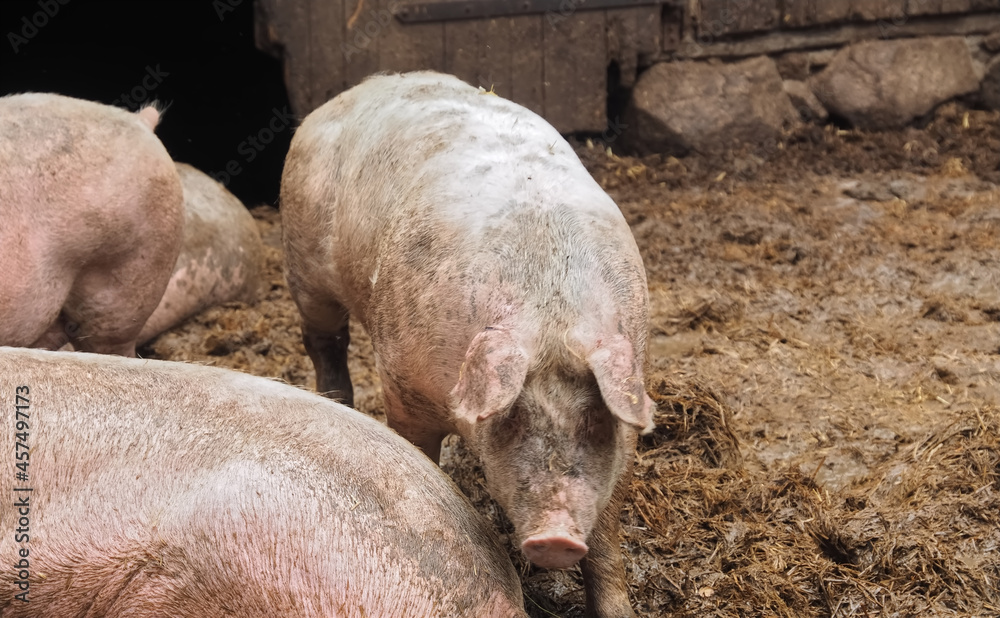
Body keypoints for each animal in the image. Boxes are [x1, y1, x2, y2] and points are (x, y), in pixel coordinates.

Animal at [281, 71, 655, 618]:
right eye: (513, 416)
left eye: (591, 420)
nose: (557, 539)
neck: (551, 316)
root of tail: (348, 94)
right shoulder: (402, 384)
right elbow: (417, 455)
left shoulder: (626, 414)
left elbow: (607, 539)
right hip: (304, 266)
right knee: (324, 341)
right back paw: (334, 401)